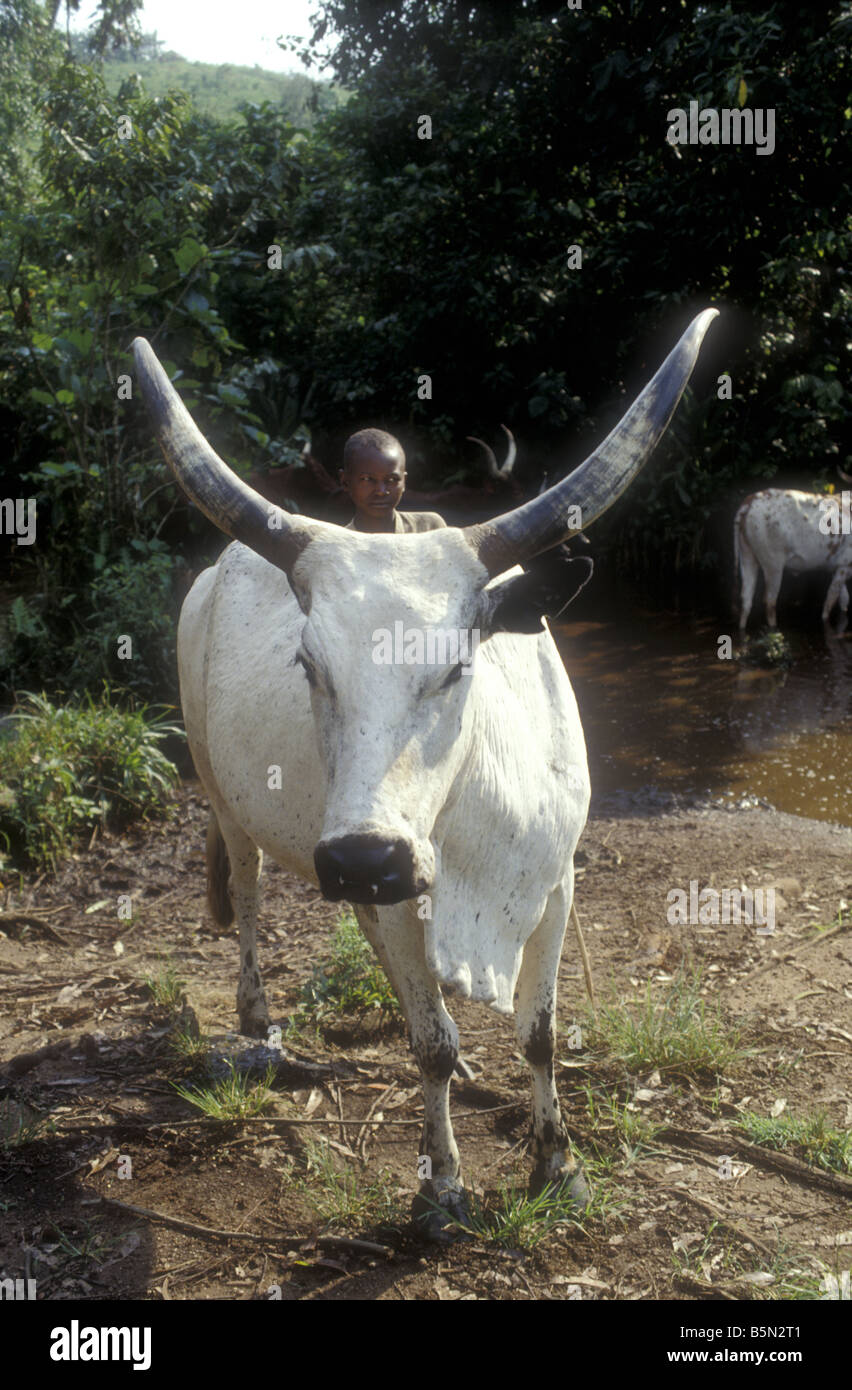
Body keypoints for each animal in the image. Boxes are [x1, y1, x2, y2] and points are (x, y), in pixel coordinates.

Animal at [132, 309, 717, 1235]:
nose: (361, 858)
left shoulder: (556, 885)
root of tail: (211, 576)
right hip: (225, 795)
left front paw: (558, 1163)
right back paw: (259, 1023)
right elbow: (431, 1044)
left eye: (456, 666)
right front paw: (441, 1186)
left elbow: (537, 1031)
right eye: (308, 664)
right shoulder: (399, 887)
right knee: (252, 894)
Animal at [734, 488, 851, 631]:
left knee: (746, 598)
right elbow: (830, 601)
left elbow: (844, 600)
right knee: (769, 600)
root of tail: (749, 502)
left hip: (747, 554)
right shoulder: (845, 564)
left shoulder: (838, 567)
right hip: (773, 562)